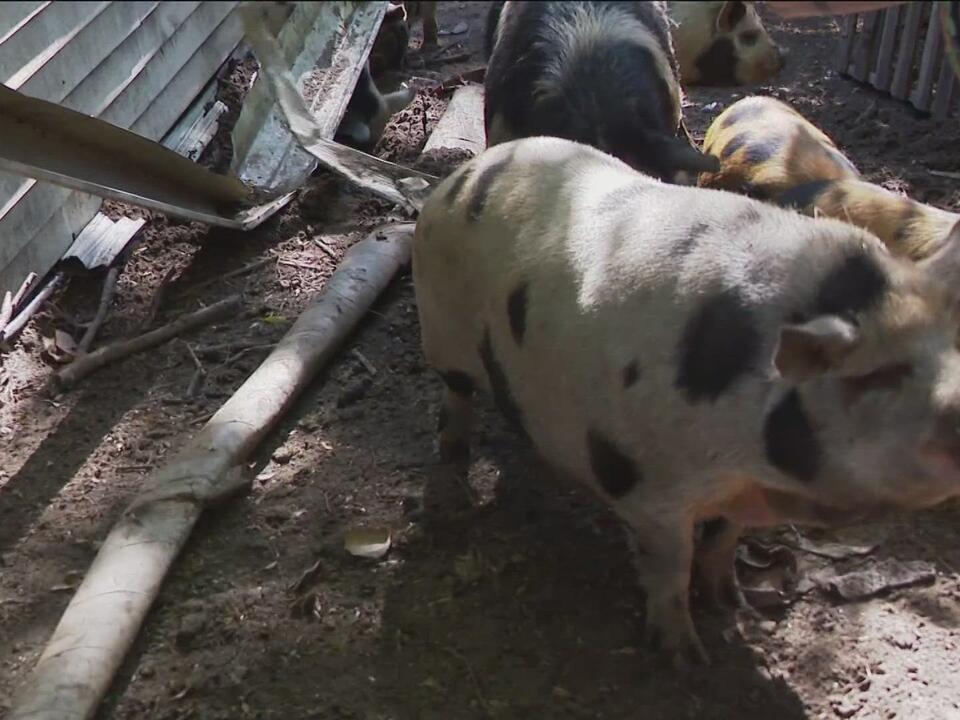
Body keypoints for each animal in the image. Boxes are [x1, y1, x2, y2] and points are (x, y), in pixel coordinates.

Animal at [413, 134, 960, 666]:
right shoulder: (650, 489)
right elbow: (672, 565)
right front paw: (685, 656)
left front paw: (733, 603)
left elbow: (723, 540)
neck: (751, 470)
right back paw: (454, 457)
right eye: (880, 374)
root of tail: (462, 177)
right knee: (455, 393)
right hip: (440, 328)